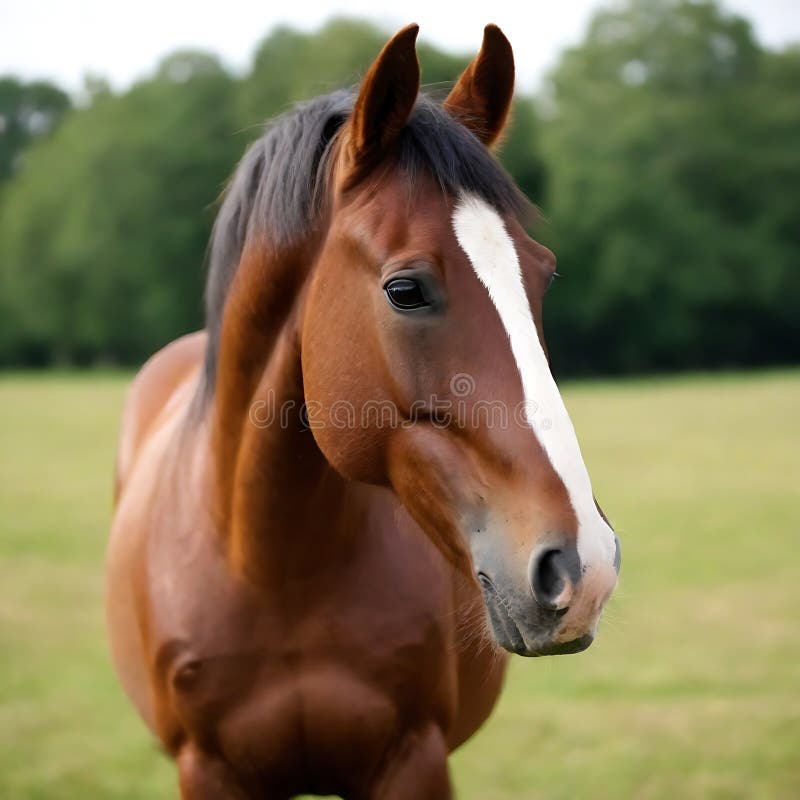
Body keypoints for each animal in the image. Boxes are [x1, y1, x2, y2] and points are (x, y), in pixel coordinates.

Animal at [106, 23, 621, 799]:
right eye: (404, 290)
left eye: (544, 274)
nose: (582, 565)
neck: (276, 566)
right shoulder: (209, 772)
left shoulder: (414, 760)